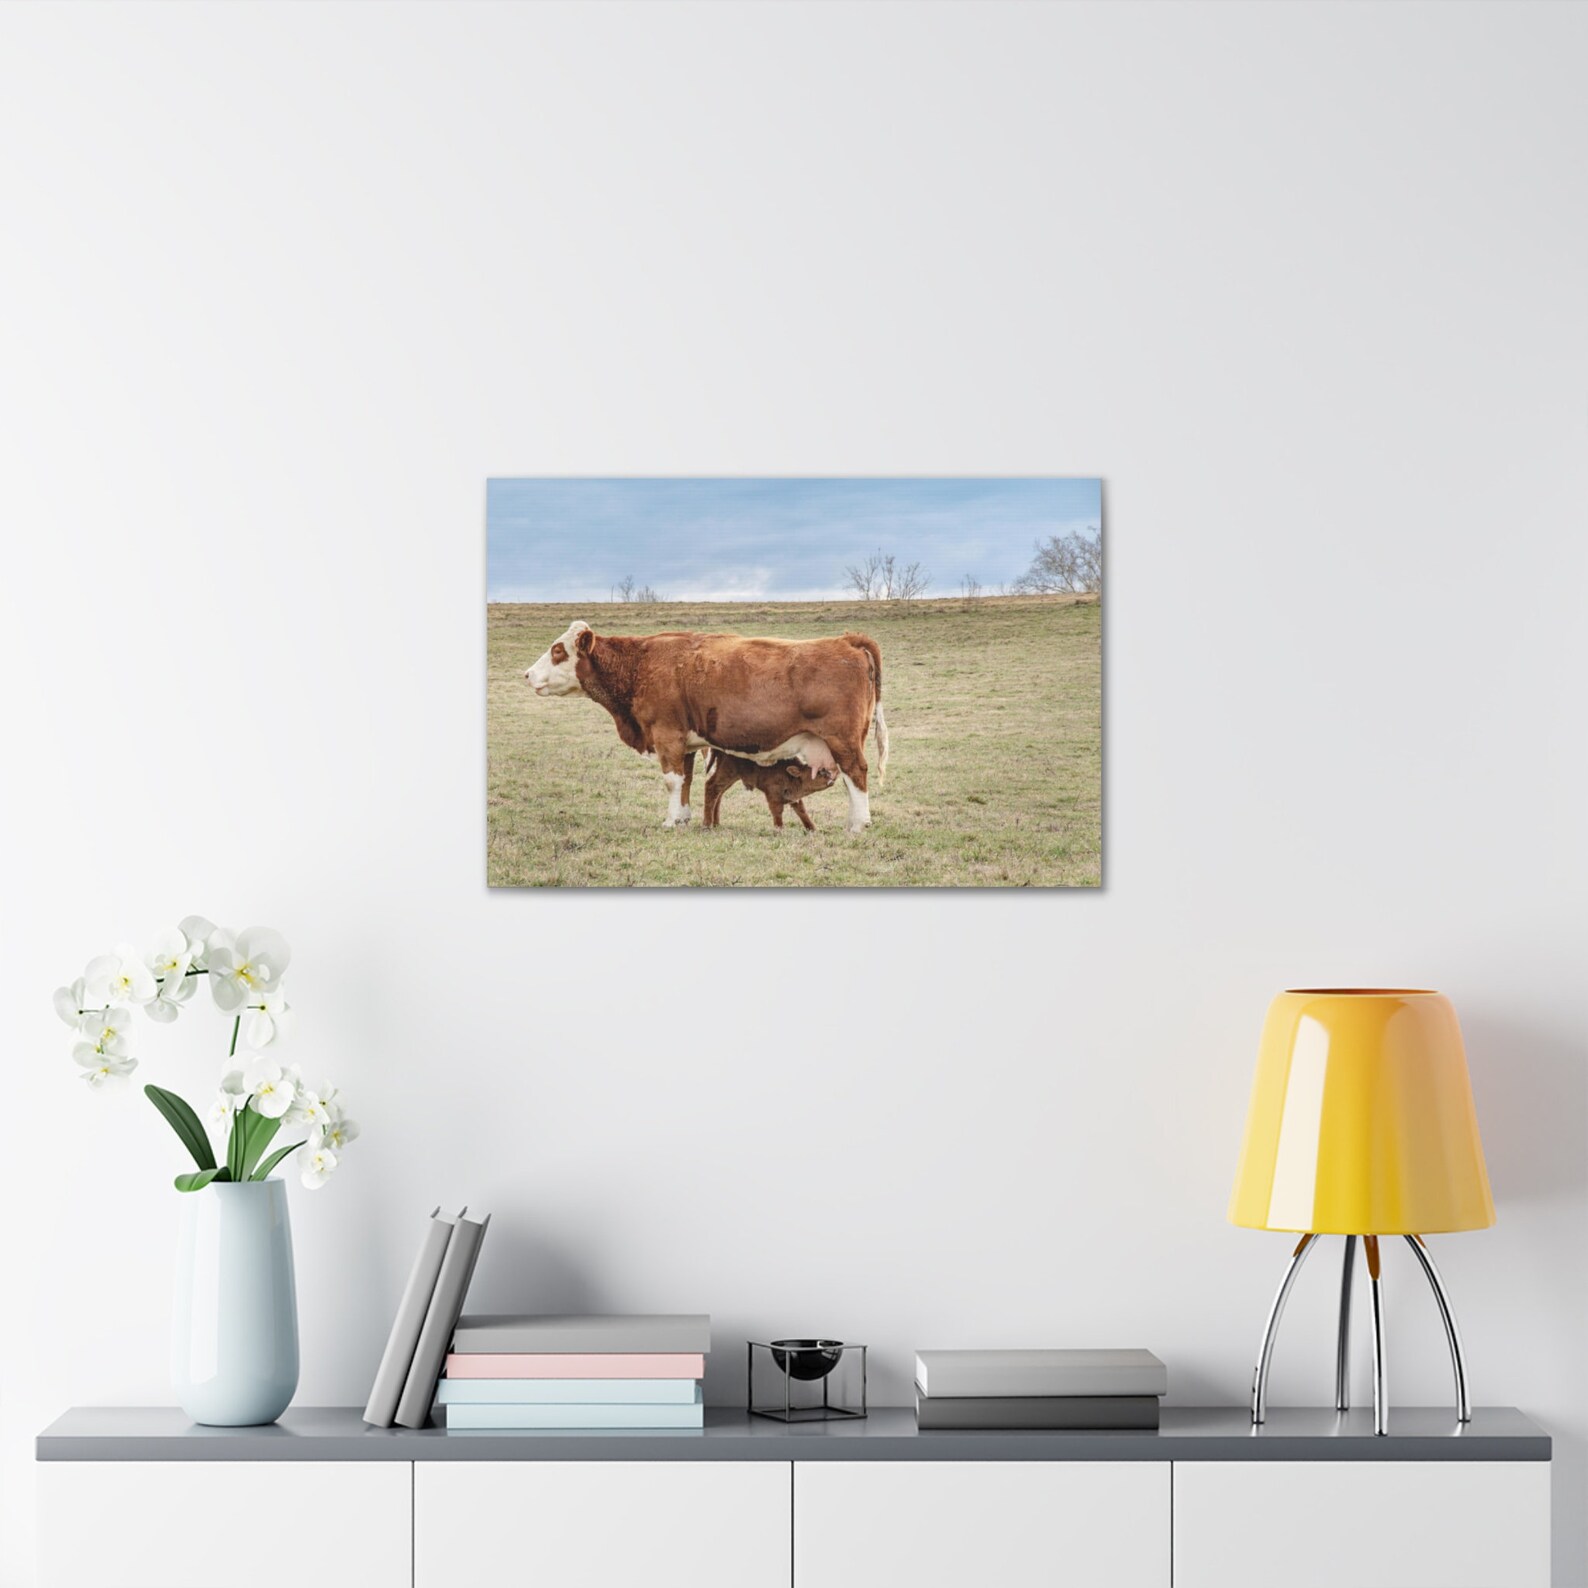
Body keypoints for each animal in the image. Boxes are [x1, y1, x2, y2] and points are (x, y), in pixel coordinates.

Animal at [702, 752, 839, 832]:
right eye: (818, 772)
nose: (831, 780)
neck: (789, 774)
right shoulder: (772, 795)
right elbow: (777, 811)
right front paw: (780, 829)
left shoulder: (794, 798)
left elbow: (802, 811)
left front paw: (812, 828)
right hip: (727, 773)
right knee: (711, 787)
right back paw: (707, 825)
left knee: (719, 794)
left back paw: (716, 823)